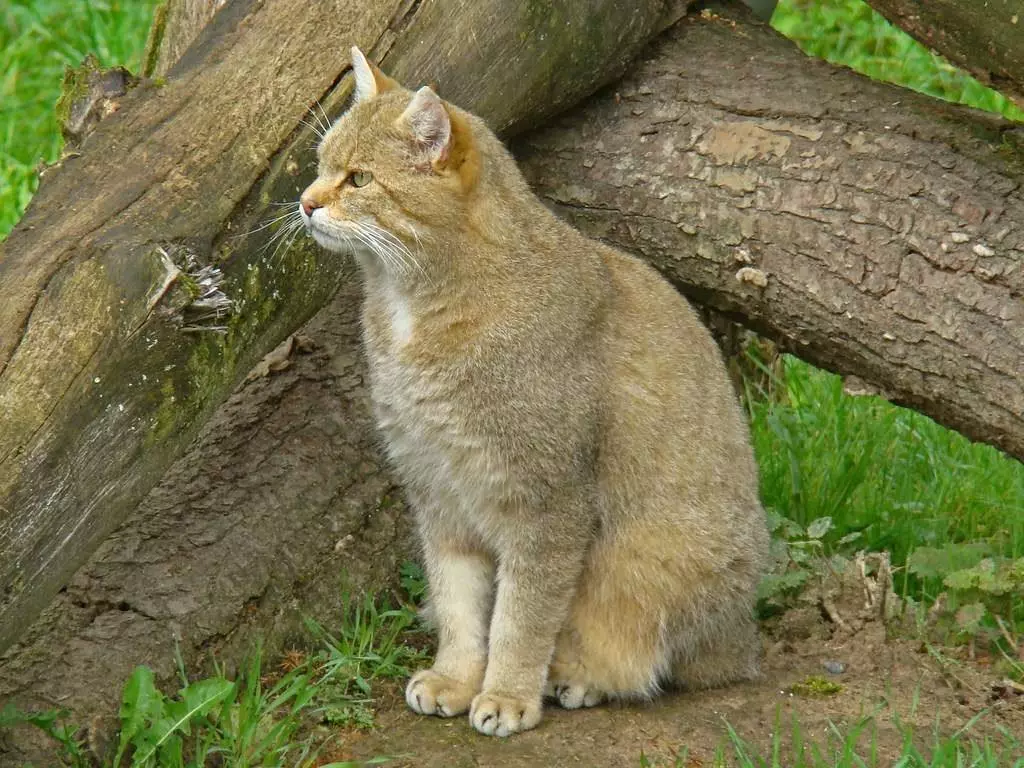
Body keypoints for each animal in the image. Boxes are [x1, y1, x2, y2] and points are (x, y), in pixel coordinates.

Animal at [299, 48, 770, 741]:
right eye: (321, 165)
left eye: (358, 180)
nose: (304, 203)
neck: (412, 307)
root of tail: (744, 641)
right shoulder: (437, 491)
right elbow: (460, 604)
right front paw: (456, 678)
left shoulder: (546, 504)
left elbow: (521, 618)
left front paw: (507, 694)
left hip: (650, 561)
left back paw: (579, 677)